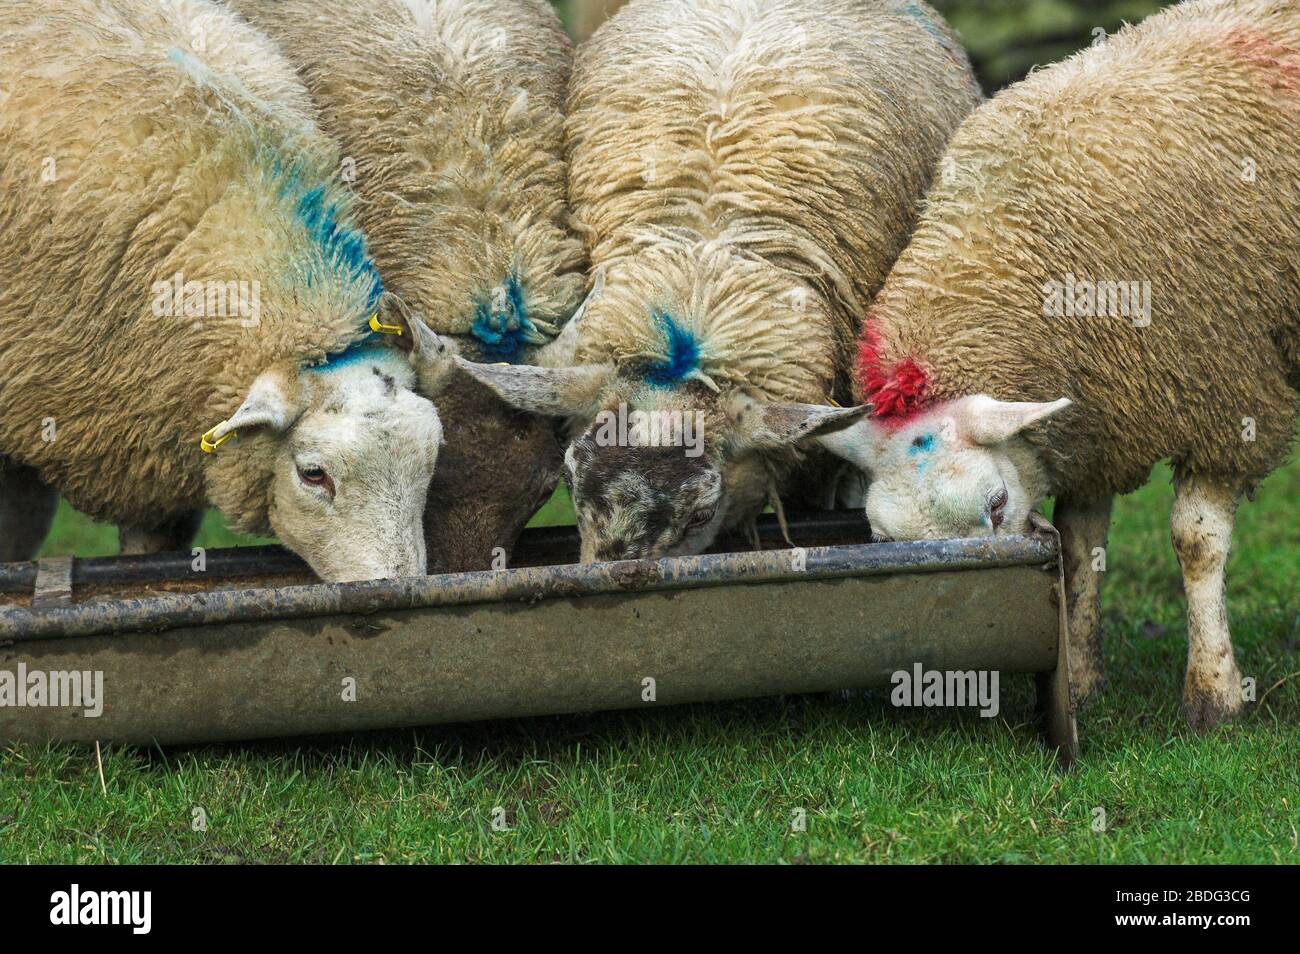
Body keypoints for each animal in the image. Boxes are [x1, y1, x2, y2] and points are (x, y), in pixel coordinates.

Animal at [814, 0, 1299, 729]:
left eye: (995, 506)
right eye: (876, 536)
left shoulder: (1228, 394)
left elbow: (1196, 542)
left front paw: (1212, 696)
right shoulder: (1102, 411)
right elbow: (1079, 546)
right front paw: (1082, 680)